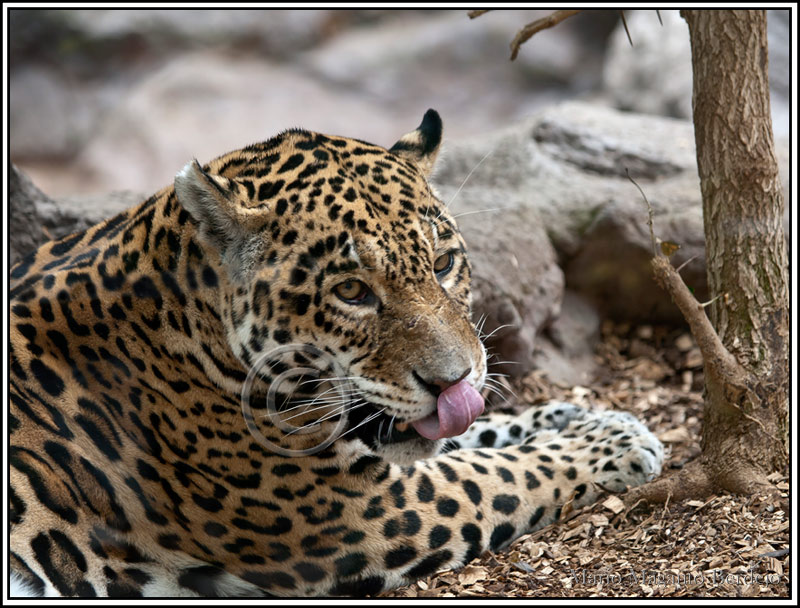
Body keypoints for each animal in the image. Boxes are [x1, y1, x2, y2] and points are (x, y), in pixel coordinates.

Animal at [9, 109, 664, 597]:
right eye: (352, 292)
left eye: (444, 263)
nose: (454, 381)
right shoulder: (359, 512)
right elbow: (494, 472)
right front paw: (610, 442)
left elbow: (465, 440)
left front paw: (575, 416)